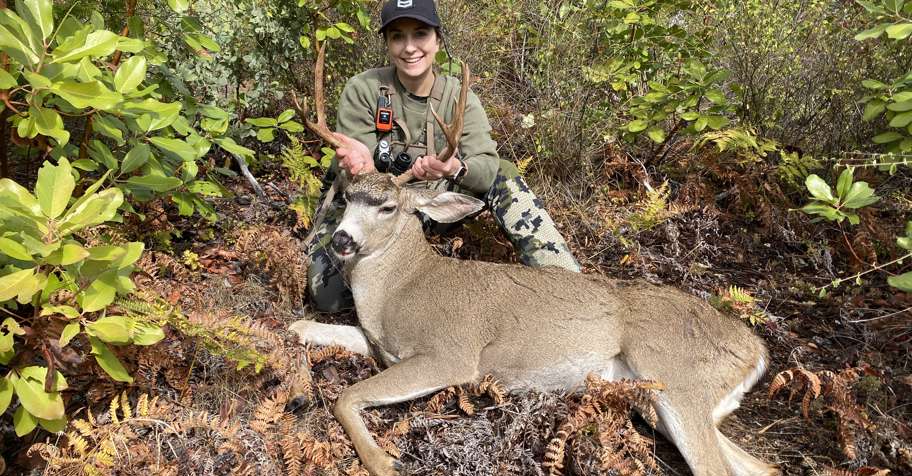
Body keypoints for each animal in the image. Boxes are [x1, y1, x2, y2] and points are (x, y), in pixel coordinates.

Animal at [290, 44, 779, 476]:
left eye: (388, 207)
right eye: (347, 197)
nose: (342, 240)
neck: (400, 288)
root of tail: (756, 350)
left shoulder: (451, 354)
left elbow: (346, 397)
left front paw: (385, 462)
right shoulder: (381, 344)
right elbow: (310, 329)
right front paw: (297, 330)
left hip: (677, 378)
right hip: (657, 400)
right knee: (761, 465)